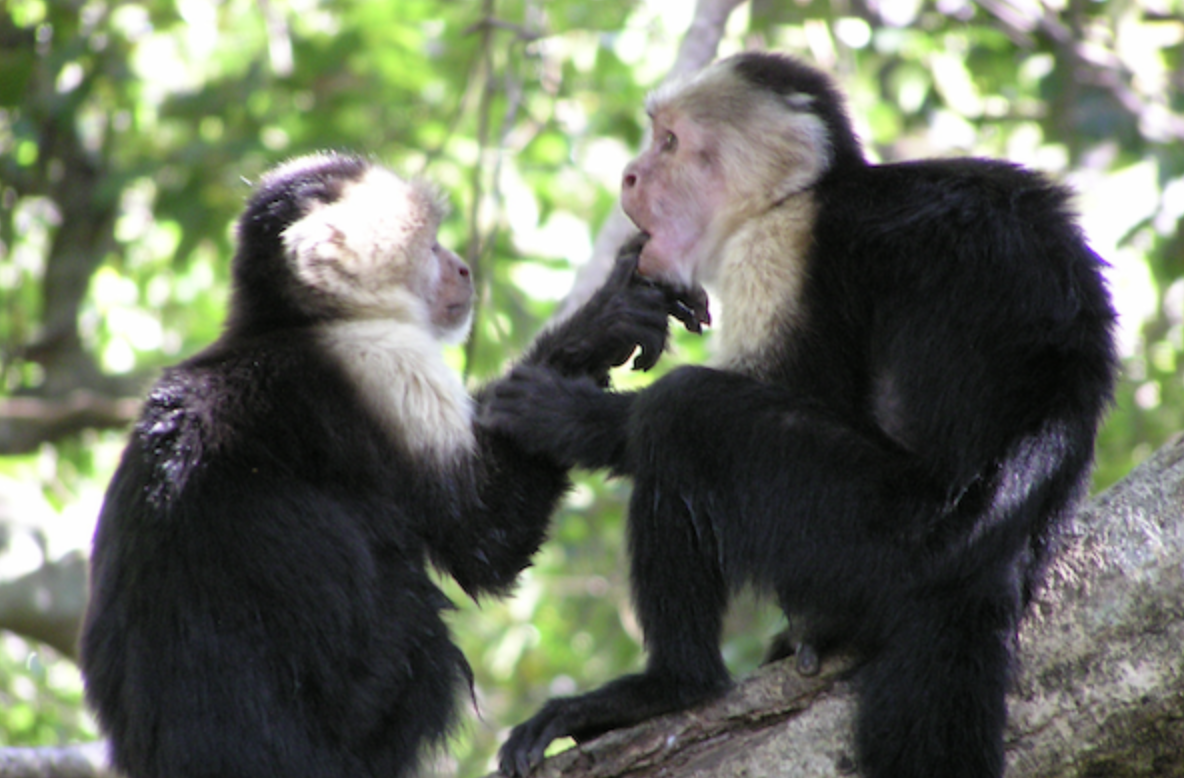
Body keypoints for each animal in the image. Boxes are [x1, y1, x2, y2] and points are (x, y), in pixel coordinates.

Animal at [78, 151, 682, 778]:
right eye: (431, 244)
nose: (463, 268)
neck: (302, 322)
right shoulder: (386, 366)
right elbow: (489, 539)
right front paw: (600, 326)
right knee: (418, 621)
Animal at [482, 53, 1118, 778]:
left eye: (669, 142)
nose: (630, 175)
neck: (798, 193)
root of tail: (991, 552)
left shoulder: (782, 247)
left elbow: (797, 390)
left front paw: (569, 414)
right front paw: (612, 314)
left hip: (887, 535)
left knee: (681, 416)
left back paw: (670, 688)